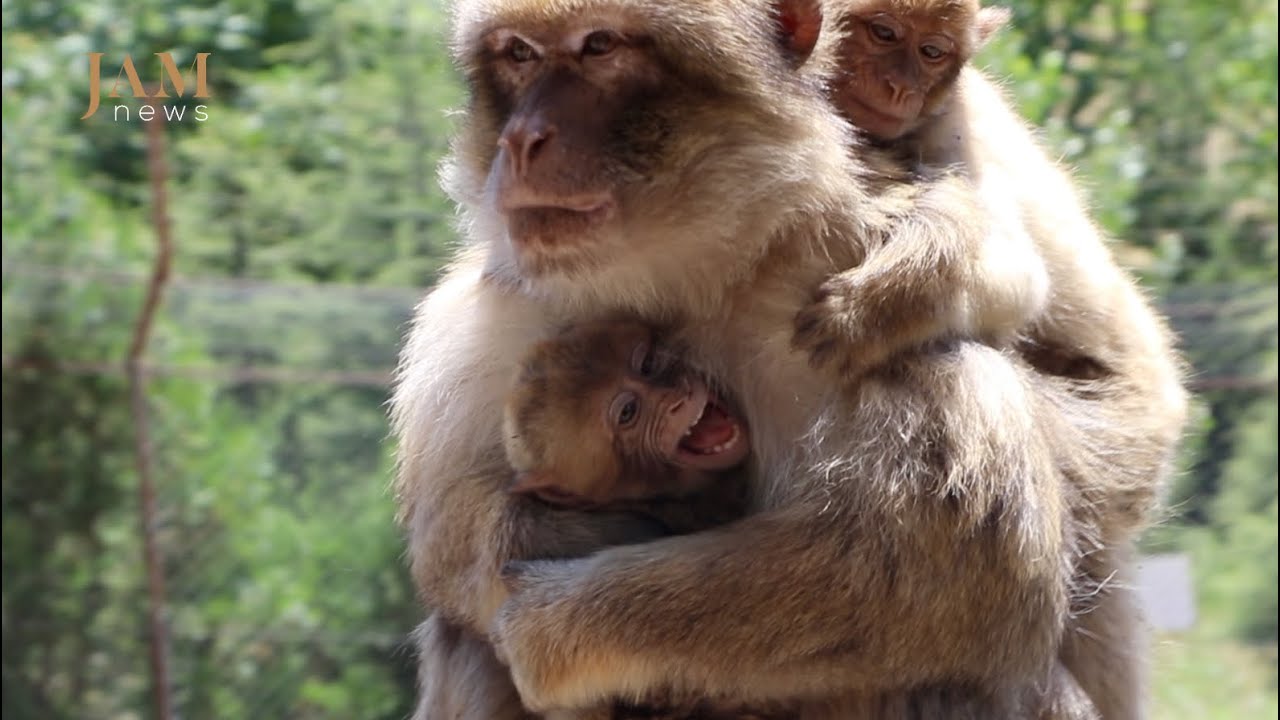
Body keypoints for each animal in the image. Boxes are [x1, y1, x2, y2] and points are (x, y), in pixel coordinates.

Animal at [389, 1, 1186, 719]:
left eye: (599, 47)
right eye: (519, 54)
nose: (522, 140)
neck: (713, 271)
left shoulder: (866, 255)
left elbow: (961, 566)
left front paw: (558, 625)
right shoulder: (506, 312)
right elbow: (446, 530)